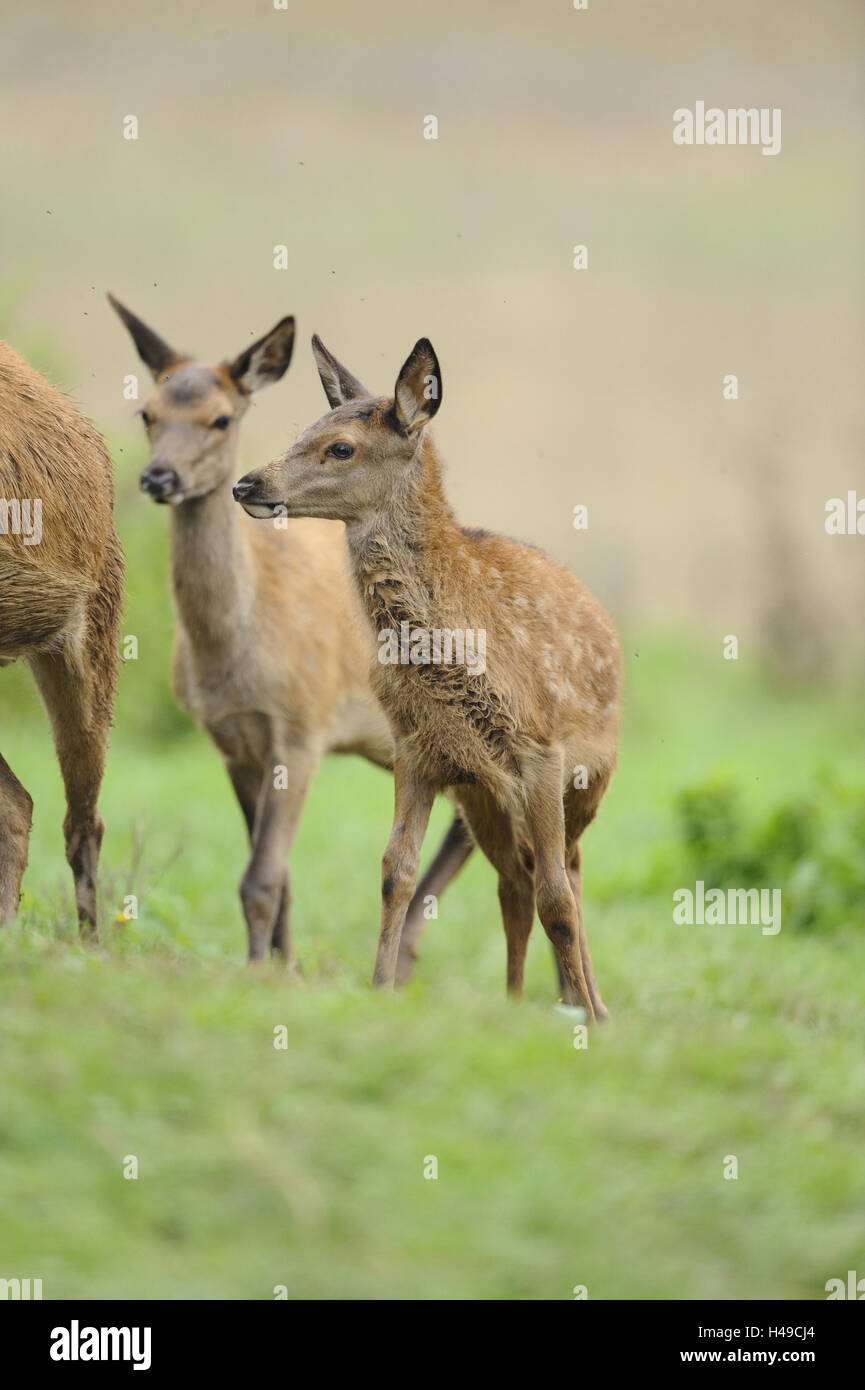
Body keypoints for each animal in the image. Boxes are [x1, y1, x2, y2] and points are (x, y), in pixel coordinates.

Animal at [108, 297, 472, 971]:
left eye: (222, 418)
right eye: (147, 412)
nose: (160, 478)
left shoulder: (303, 727)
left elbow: (261, 877)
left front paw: (261, 972)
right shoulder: (232, 742)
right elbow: (276, 877)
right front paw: (280, 966)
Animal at [233, 335, 621, 1019]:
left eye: (340, 447)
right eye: (303, 429)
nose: (246, 482)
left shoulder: (542, 749)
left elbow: (557, 898)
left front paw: (586, 1018)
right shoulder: (418, 748)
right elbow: (397, 872)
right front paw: (381, 986)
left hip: (588, 781)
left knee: (565, 877)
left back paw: (589, 1006)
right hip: (484, 795)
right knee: (515, 880)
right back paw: (519, 999)